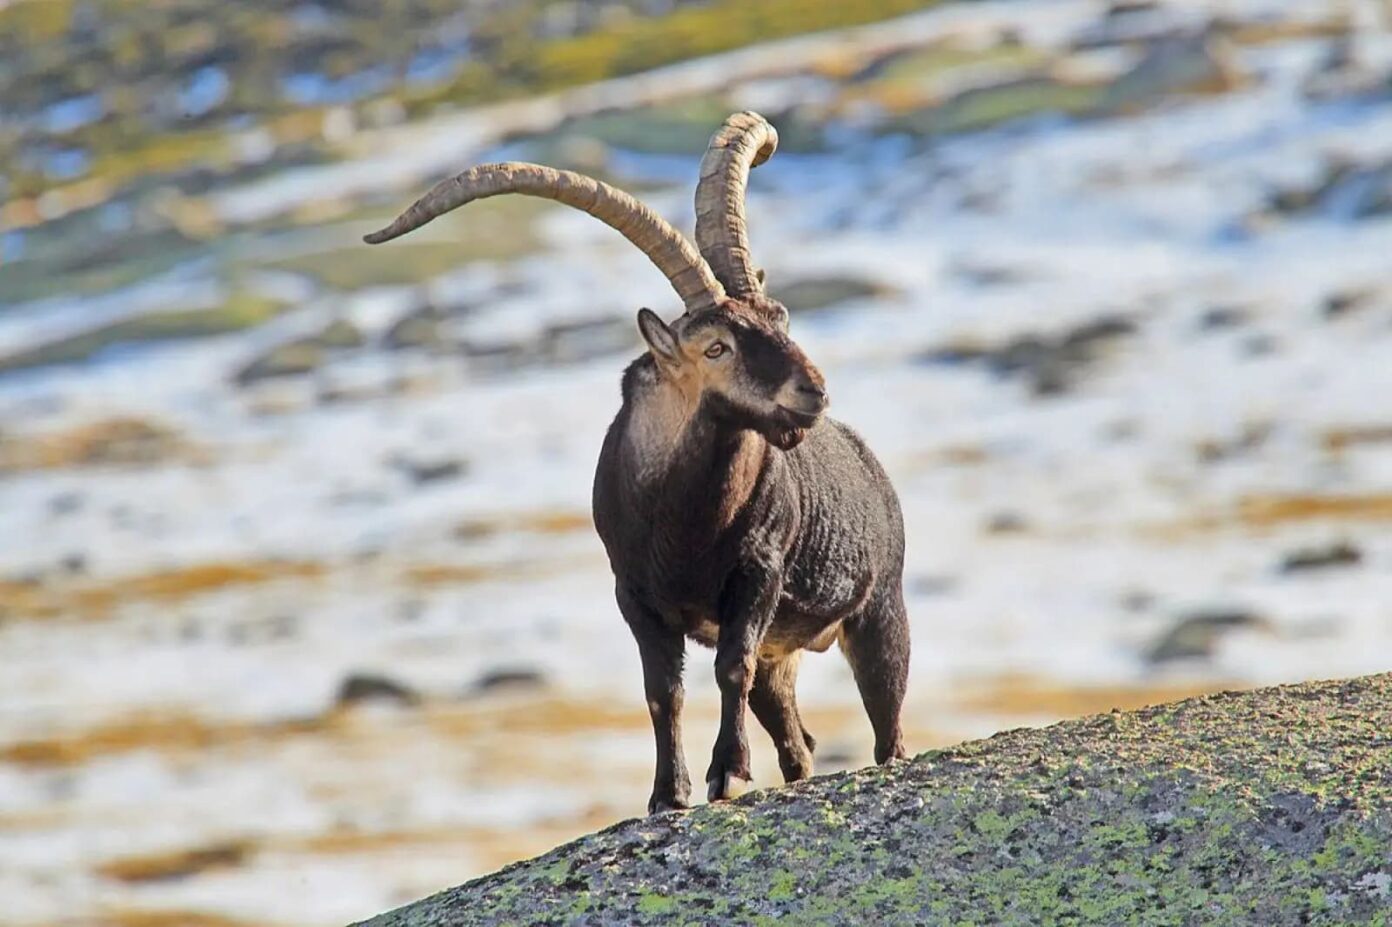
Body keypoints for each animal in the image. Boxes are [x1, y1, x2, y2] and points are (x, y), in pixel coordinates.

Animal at [366, 112, 909, 813]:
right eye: (715, 347)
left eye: (779, 315)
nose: (811, 390)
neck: (686, 523)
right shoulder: (634, 595)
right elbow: (662, 690)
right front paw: (666, 794)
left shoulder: (756, 577)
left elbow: (727, 666)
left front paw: (727, 774)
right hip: (784, 654)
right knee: (797, 741)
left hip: (880, 611)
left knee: (886, 724)